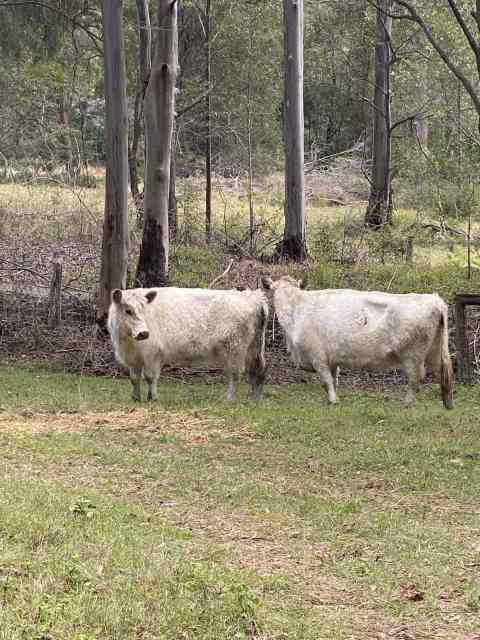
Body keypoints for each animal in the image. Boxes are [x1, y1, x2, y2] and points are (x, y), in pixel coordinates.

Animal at [107, 286, 268, 402]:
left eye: (145, 310)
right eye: (128, 311)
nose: (144, 333)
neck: (127, 342)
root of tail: (253, 297)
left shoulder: (152, 355)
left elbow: (150, 377)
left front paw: (152, 398)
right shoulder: (134, 359)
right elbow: (134, 379)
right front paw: (135, 398)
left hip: (236, 350)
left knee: (235, 375)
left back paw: (229, 399)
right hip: (253, 350)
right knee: (257, 371)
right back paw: (254, 398)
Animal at [262, 276, 453, 409]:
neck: (296, 307)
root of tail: (434, 299)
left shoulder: (318, 357)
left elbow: (326, 380)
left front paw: (333, 401)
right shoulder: (332, 360)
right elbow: (334, 379)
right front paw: (333, 399)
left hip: (413, 355)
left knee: (415, 377)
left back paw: (407, 403)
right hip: (435, 351)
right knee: (441, 374)